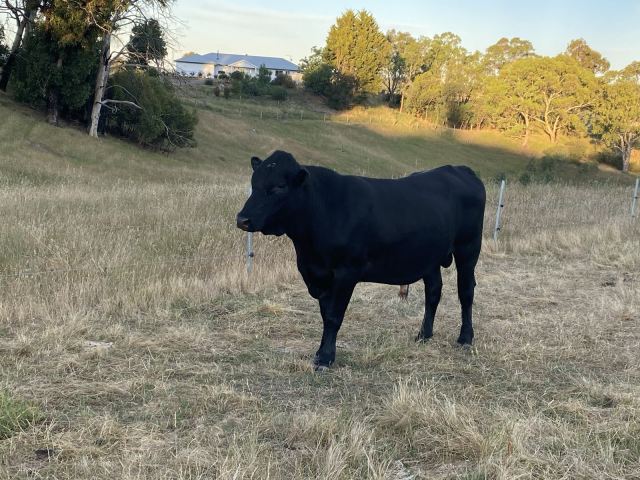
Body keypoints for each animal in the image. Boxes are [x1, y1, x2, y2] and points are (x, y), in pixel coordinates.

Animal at [236, 151, 486, 371]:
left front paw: (325, 358)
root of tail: (459, 169)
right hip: (430, 257)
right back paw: (423, 335)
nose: (242, 219)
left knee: (466, 291)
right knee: (433, 291)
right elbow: (325, 314)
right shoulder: (317, 274)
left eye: (280, 187)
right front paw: (320, 353)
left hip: (468, 248)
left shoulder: (347, 271)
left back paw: (465, 338)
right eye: (254, 183)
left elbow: (334, 316)